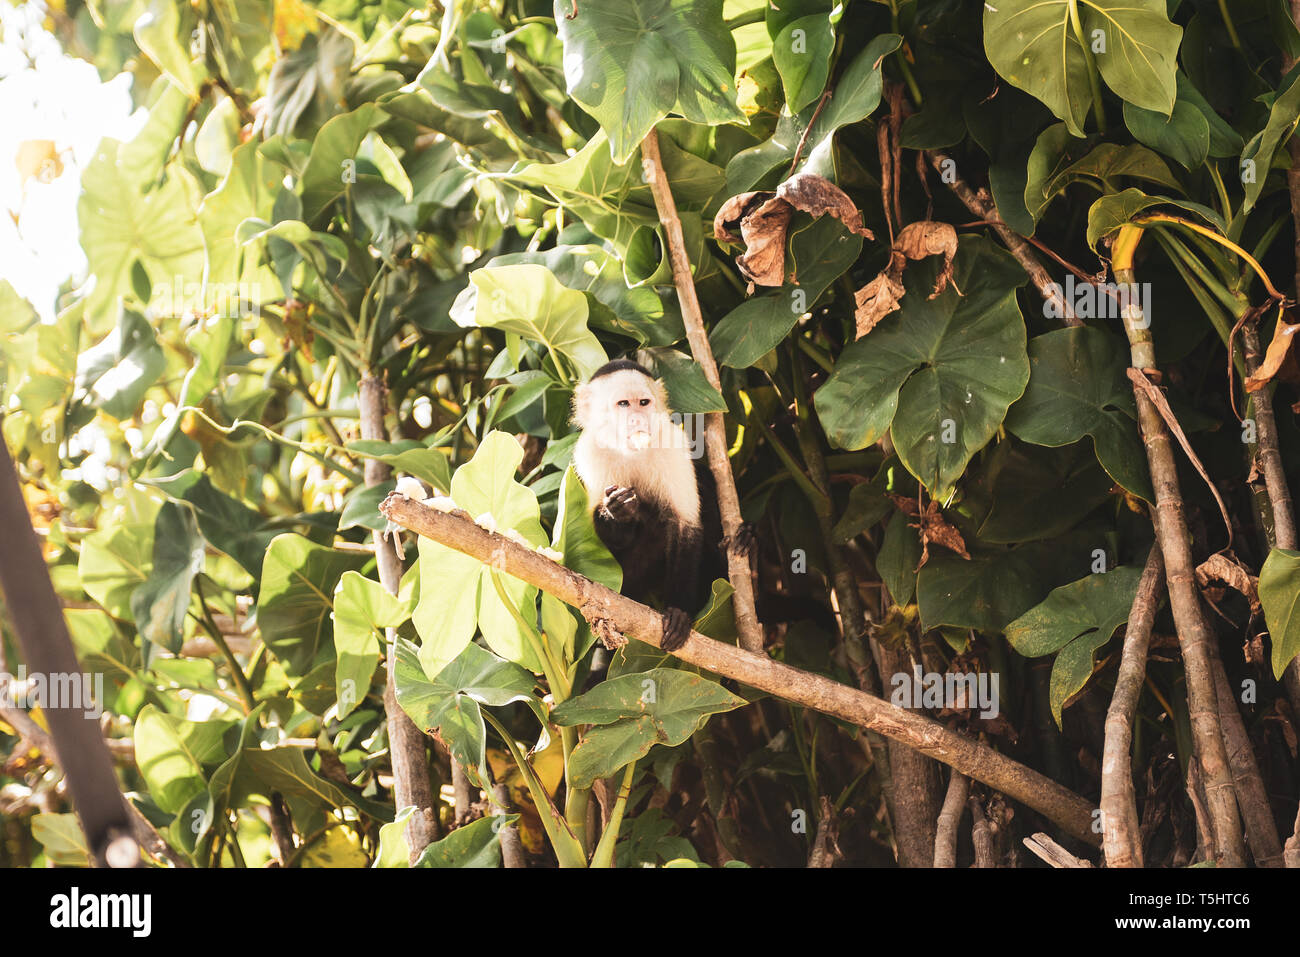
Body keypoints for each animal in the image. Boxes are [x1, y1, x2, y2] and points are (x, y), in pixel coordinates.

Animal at [571, 359, 740, 653]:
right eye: (624, 404)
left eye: (643, 402)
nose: (638, 418)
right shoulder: (589, 454)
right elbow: (604, 530)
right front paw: (616, 511)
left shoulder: (672, 444)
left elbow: (685, 525)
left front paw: (678, 613)